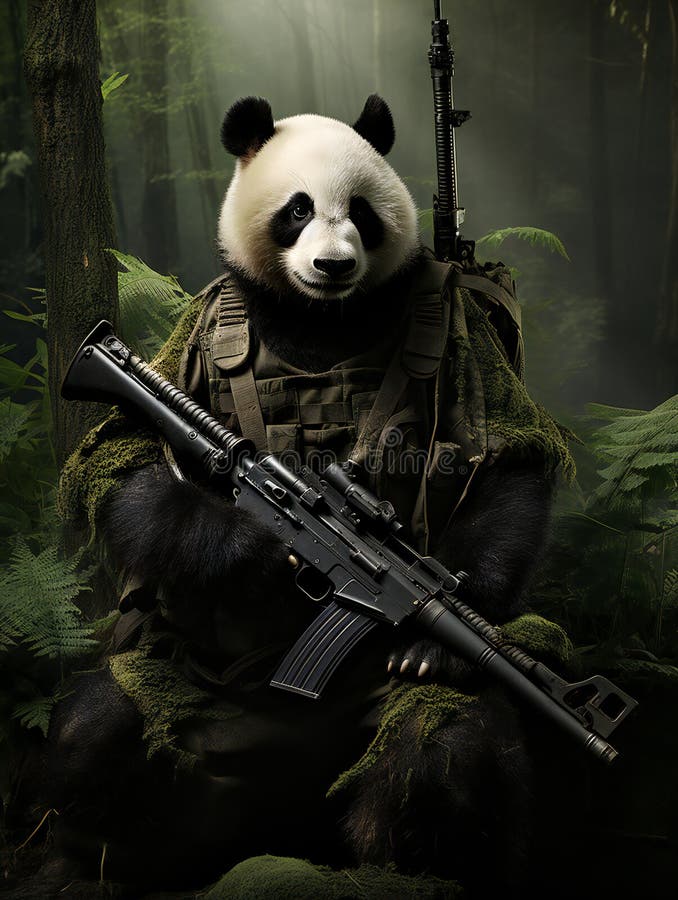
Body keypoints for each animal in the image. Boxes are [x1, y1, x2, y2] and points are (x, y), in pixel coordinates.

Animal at [17, 95, 559, 898]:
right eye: (297, 210)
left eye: (360, 213)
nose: (333, 266)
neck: (318, 319)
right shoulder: (202, 325)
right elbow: (114, 452)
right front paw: (247, 547)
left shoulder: (456, 331)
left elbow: (510, 456)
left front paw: (442, 637)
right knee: (98, 727)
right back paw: (73, 862)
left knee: (450, 749)